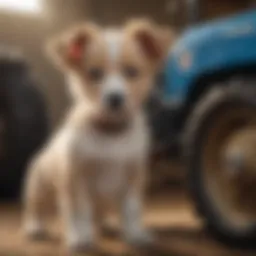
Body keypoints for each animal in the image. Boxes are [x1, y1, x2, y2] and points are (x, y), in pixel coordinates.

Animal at [23, 20, 173, 252]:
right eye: (94, 73)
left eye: (132, 72)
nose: (115, 98)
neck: (110, 133)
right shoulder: (76, 180)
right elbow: (78, 214)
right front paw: (80, 238)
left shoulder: (133, 178)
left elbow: (132, 210)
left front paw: (135, 235)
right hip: (40, 187)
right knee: (36, 209)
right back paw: (35, 227)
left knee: (100, 214)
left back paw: (107, 225)